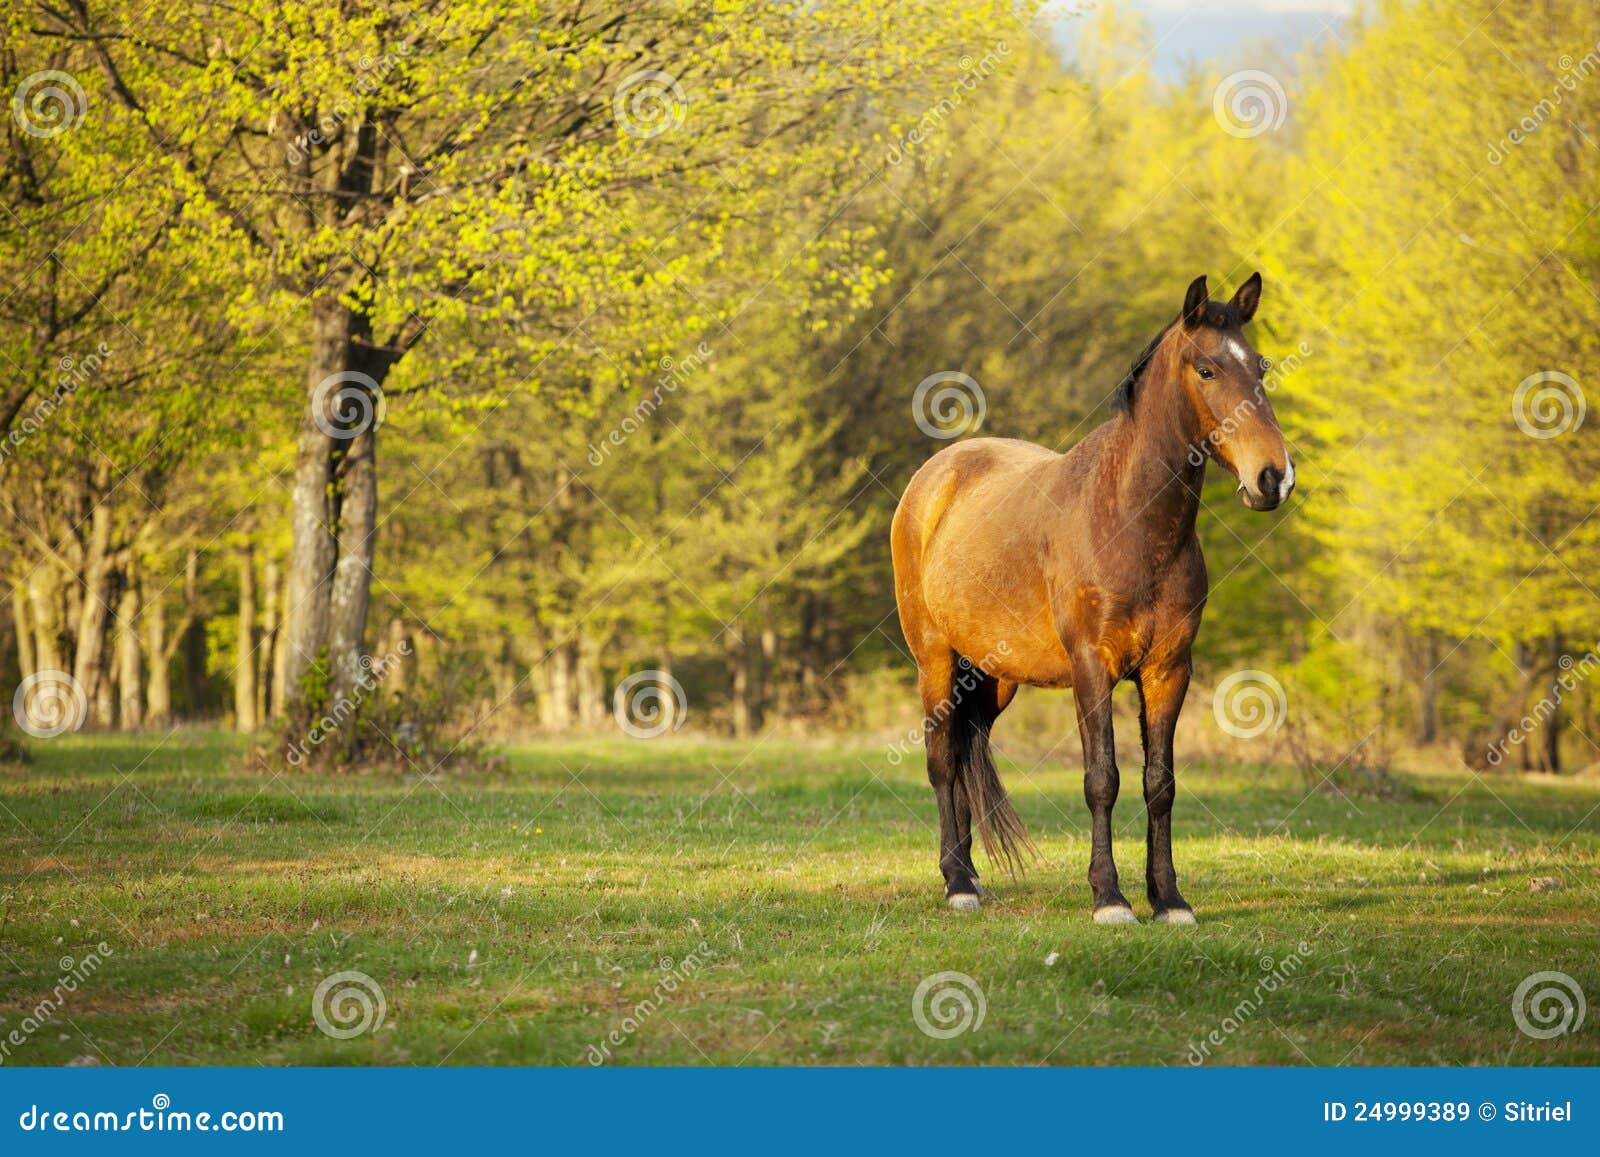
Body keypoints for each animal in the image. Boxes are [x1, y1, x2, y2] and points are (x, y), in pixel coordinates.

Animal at [891, 272, 1294, 924]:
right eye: (1206, 369)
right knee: (942, 760)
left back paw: (972, 875)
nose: (1273, 478)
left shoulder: (1168, 671)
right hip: (935, 661)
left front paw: (1168, 898)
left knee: (966, 758)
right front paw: (1109, 896)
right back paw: (956, 884)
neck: (1129, 522)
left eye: (1259, 366)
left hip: (994, 679)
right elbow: (1101, 778)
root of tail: (935, 476)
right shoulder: (1091, 668)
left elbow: (1160, 783)